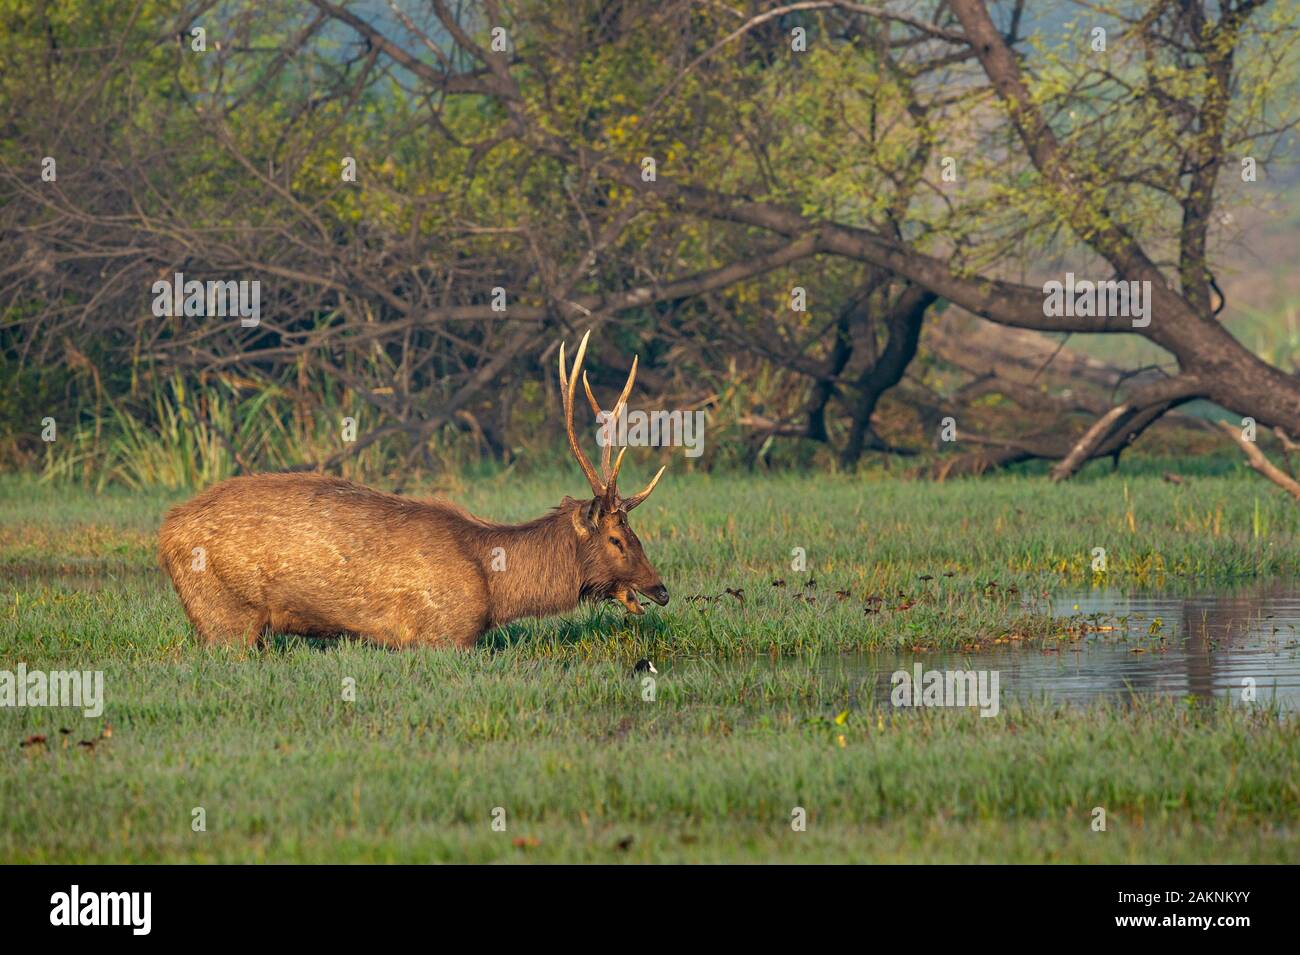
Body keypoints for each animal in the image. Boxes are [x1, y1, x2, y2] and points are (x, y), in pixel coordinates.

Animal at [157, 330, 668, 649]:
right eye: (617, 538)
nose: (661, 590)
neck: (498, 588)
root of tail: (166, 531)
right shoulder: (445, 634)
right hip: (226, 617)